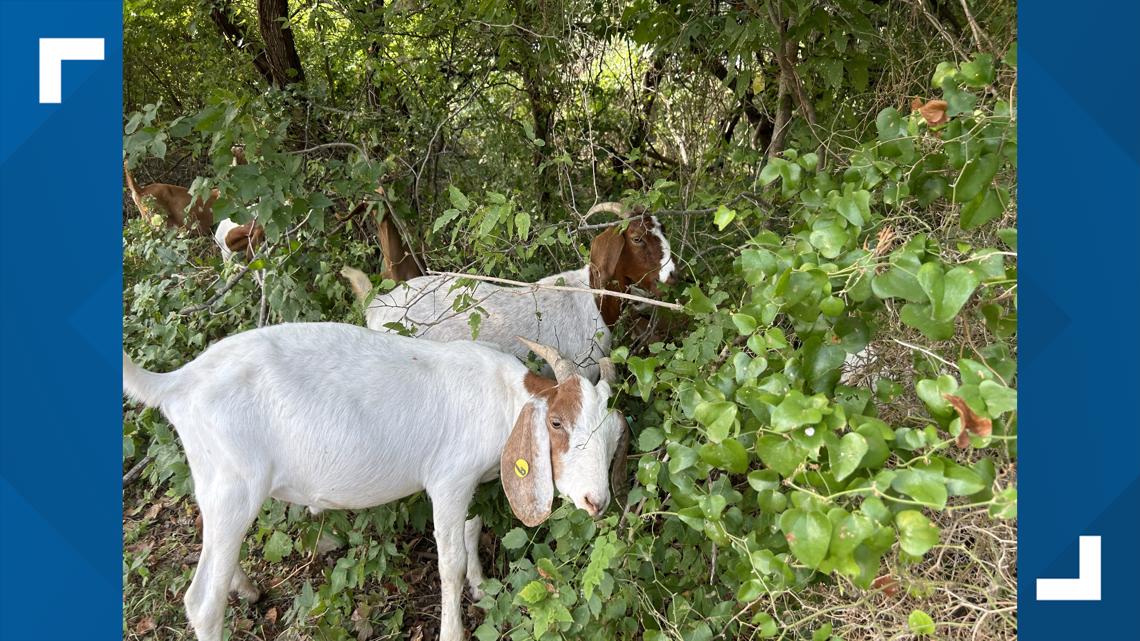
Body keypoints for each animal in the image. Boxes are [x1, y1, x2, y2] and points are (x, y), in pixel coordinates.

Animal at [122, 324, 628, 641]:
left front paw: (483, 588)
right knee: (201, 601)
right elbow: (450, 562)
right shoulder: (448, 479)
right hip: (234, 486)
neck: (502, 398)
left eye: (613, 436)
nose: (595, 500)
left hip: (215, 482)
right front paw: (453, 630)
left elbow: (472, 529)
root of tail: (178, 383)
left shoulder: (472, 482)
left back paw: (244, 587)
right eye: (557, 423)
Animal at [341, 202, 677, 381]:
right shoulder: (582, 371)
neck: (591, 300)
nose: (673, 275)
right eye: (636, 238)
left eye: (661, 230)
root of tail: (378, 305)